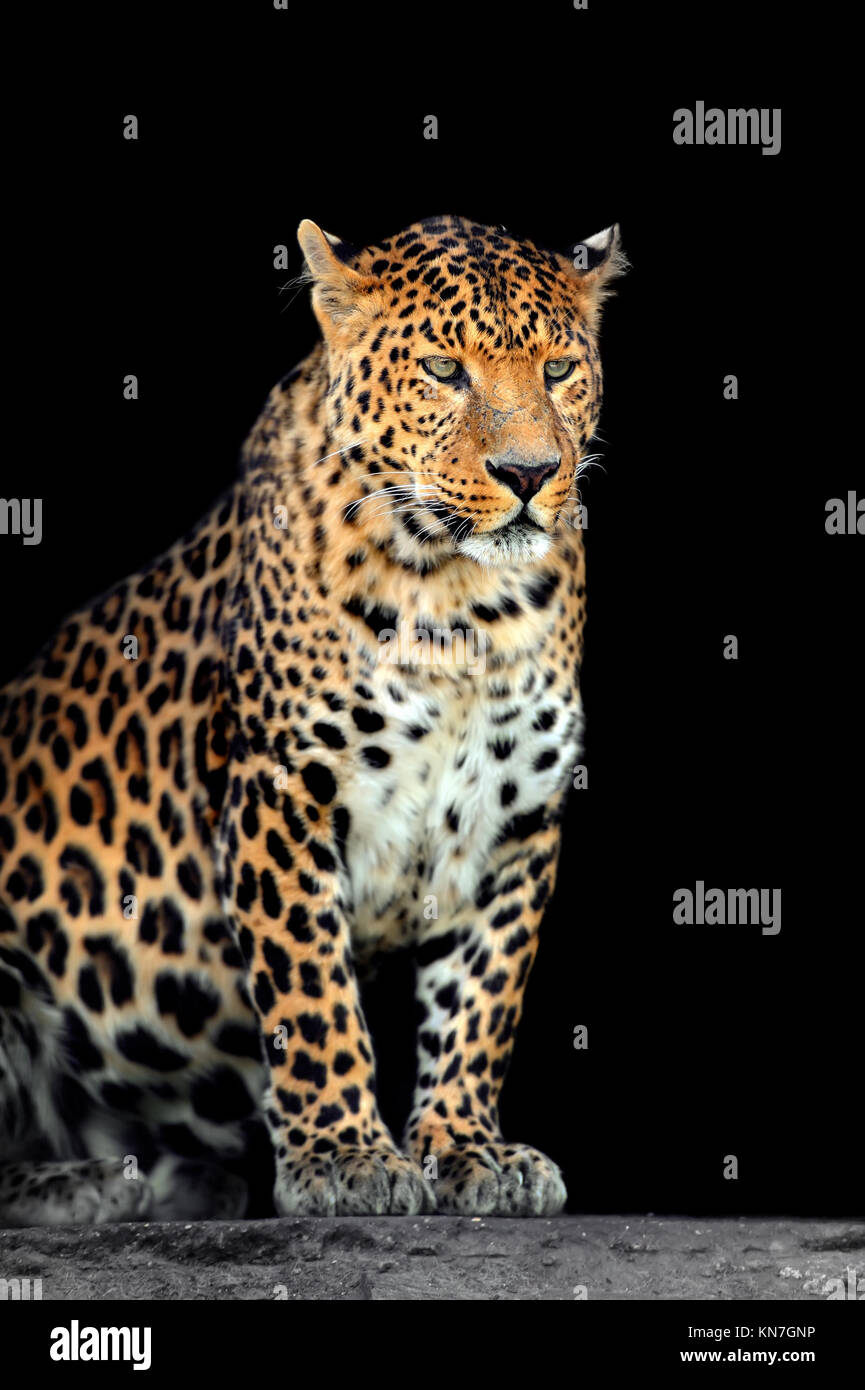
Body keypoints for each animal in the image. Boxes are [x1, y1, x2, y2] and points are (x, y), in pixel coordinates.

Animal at [0, 215, 625, 1225]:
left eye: (559, 369)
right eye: (444, 370)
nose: (530, 472)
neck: (459, 603)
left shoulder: (516, 822)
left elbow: (480, 997)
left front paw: (468, 1149)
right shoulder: (282, 792)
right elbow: (311, 995)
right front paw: (345, 1157)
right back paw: (83, 1185)